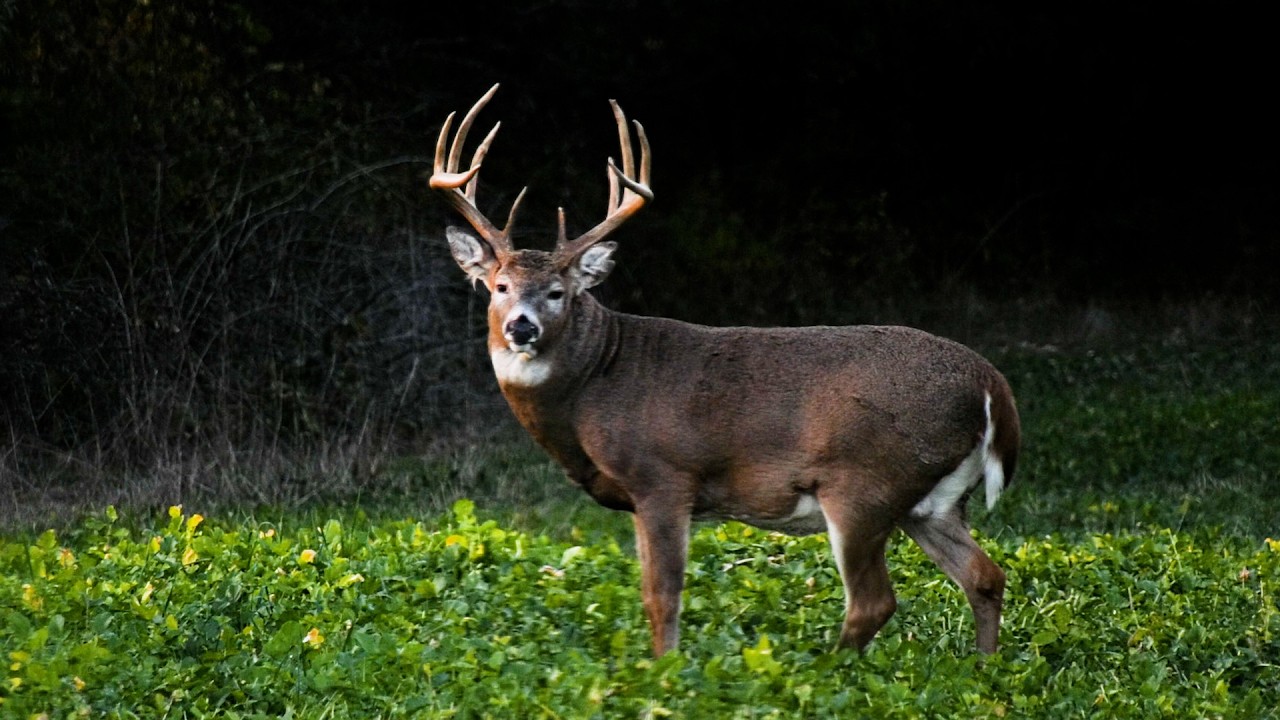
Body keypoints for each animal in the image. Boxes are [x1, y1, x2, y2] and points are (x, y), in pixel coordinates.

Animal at [429, 84, 1021, 657]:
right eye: (500, 286)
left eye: (557, 292)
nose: (521, 327)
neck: (591, 388)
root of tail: (992, 387)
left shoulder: (664, 477)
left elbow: (662, 595)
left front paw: (664, 672)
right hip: (932, 502)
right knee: (985, 576)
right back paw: (983, 670)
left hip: (865, 484)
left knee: (875, 601)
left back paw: (825, 671)